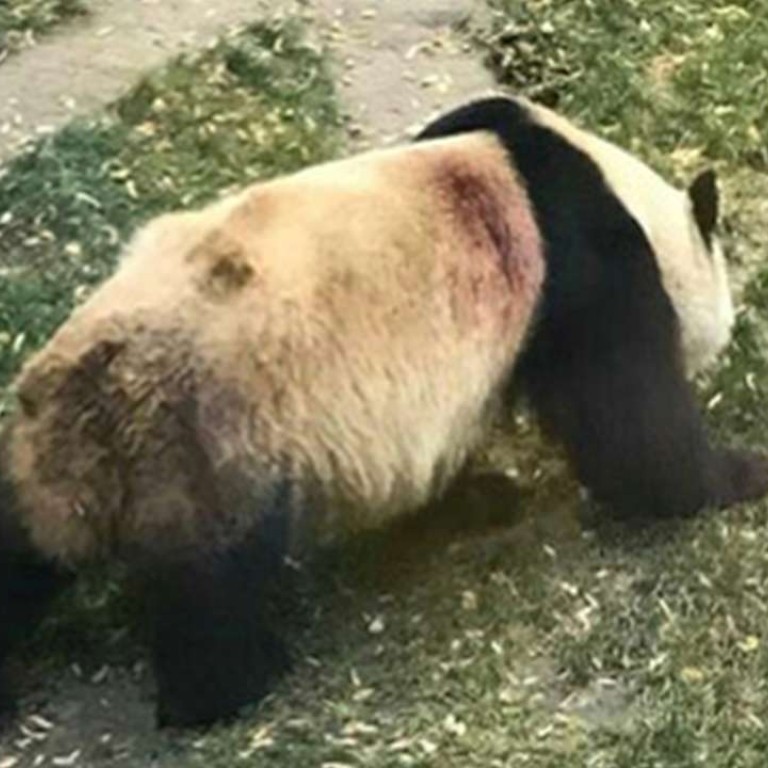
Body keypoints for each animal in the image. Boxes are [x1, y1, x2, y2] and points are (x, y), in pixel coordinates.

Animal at [1, 94, 767, 729]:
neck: (620, 189)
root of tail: (87, 399)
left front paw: (480, 496)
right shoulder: (585, 265)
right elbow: (633, 435)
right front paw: (740, 470)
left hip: (46, 453)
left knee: (20, 553)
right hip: (210, 434)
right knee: (213, 586)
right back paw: (233, 687)